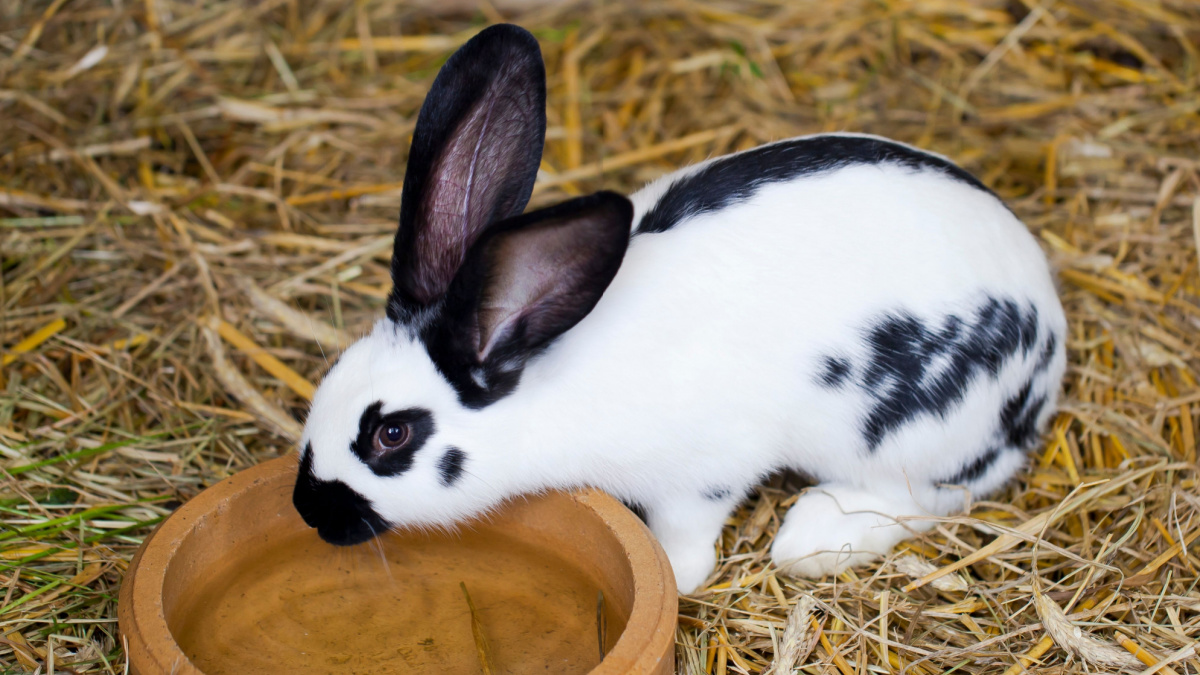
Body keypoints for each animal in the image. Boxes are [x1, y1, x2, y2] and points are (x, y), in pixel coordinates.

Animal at [292, 23, 1066, 594]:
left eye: (391, 435)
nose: (309, 510)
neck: (544, 385)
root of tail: (1050, 339)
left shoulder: (705, 473)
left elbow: (685, 541)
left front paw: (674, 575)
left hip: (902, 435)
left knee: (935, 495)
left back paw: (814, 537)